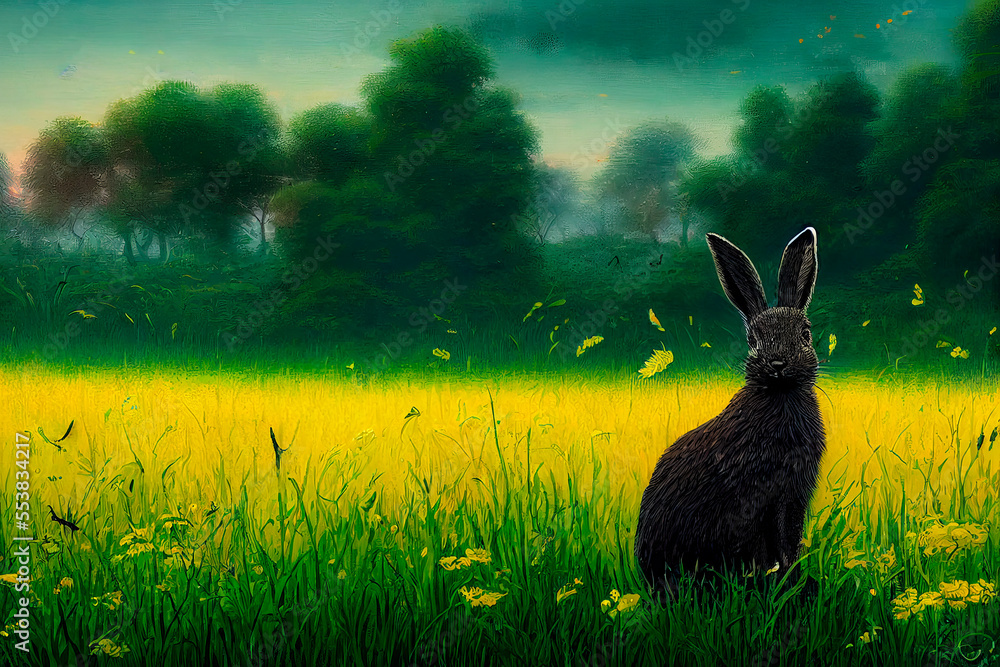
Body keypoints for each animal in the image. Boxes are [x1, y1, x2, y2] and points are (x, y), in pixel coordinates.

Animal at [634, 227, 825, 600]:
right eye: (753, 340)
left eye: (805, 333)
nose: (777, 364)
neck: (780, 395)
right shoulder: (756, 498)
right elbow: (768, 544)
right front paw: (778, 582)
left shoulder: (792, 496)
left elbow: (789, 541)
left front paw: (794, 581)